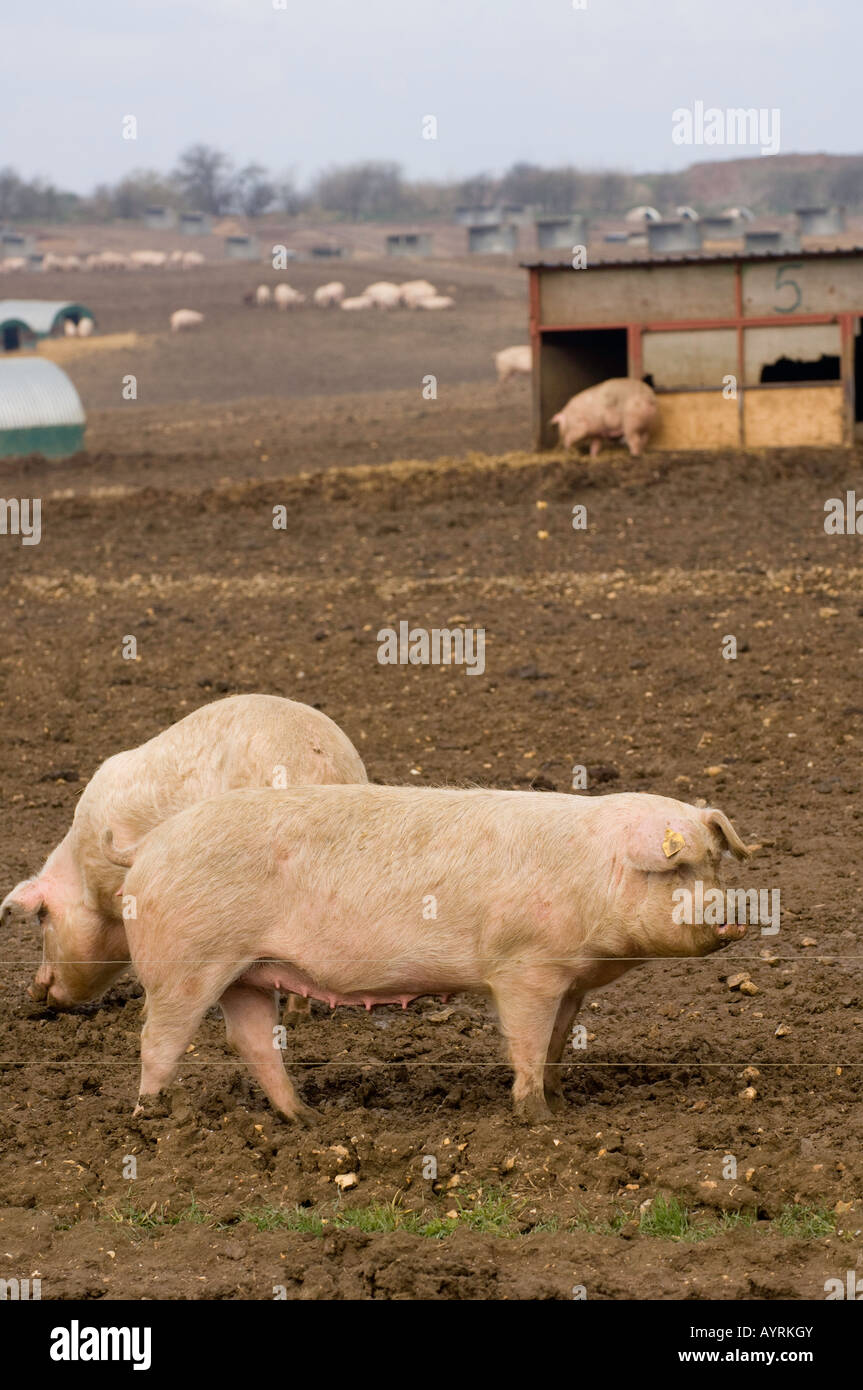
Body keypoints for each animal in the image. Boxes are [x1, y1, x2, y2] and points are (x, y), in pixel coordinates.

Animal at [107, 785, 755, 1126]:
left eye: (715, 862)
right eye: (678, 868)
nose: (735, 911)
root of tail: (146, 848)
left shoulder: (570, 981)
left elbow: (554, 1044)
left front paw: (563, 1103)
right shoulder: (524, 968)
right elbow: (525, 1042)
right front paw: (537, 1120)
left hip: (246, 973)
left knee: (251, 1041)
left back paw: (307, 1120)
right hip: (186, 963)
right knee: (157, 1037)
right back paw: (154, 1117)